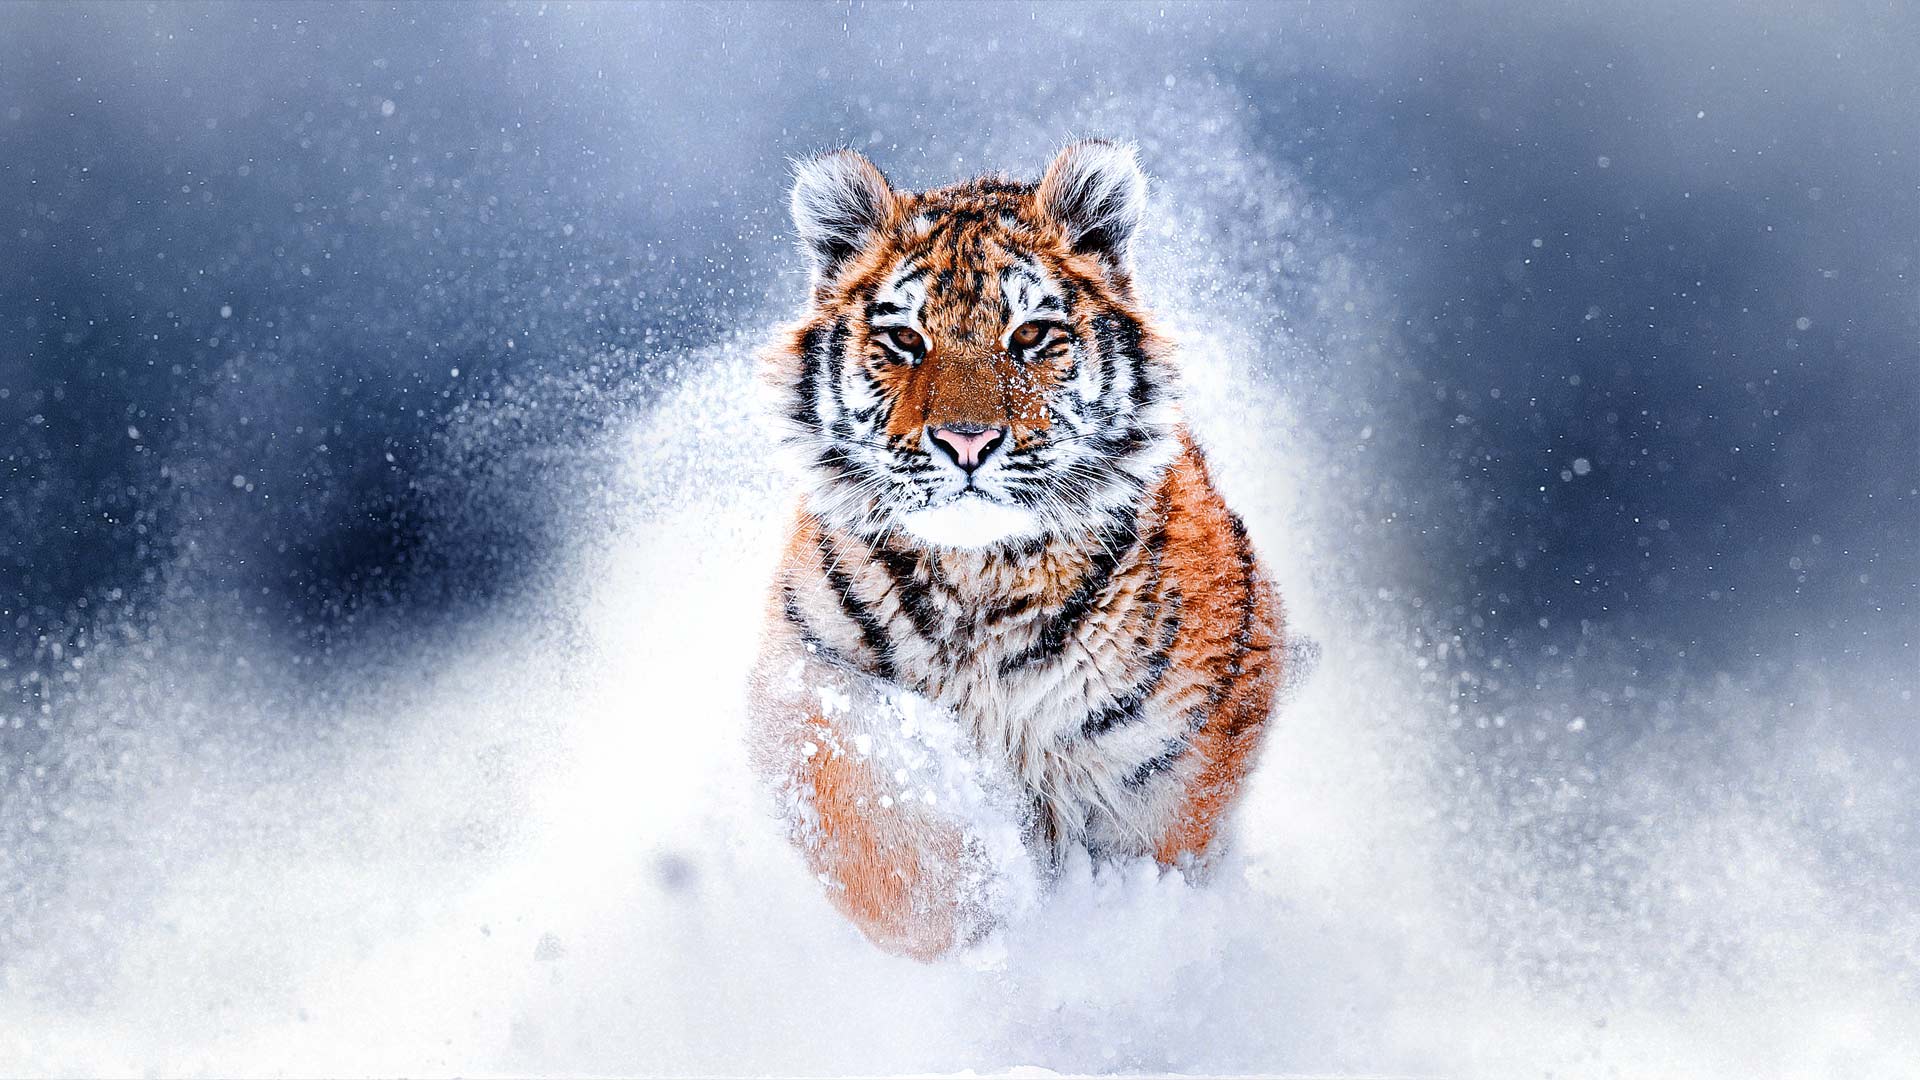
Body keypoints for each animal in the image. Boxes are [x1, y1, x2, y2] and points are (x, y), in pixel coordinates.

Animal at [747, 139, 1288, 960]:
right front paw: (978, 912)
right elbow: (871, 811)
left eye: (1029, 336)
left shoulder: (1180, 751)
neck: (981, 578)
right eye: (905, 340)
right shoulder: (803, 672)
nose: (966, 441)